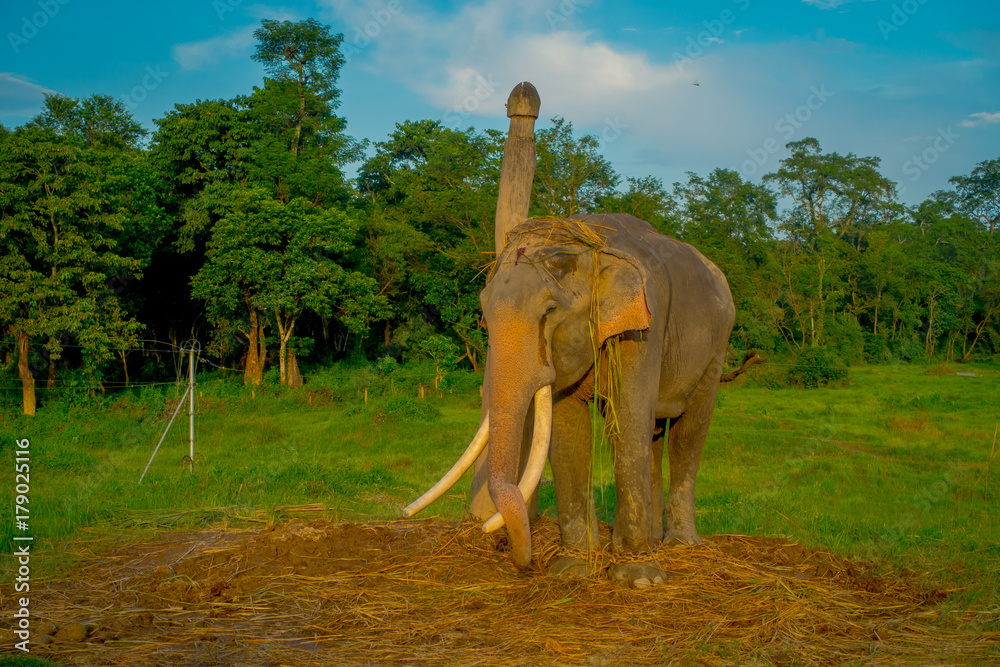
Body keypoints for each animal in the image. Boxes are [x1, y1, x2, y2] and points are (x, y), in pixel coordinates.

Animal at [405, 212, 739, 584]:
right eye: (485, 316)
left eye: (550, 311)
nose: (516, 556)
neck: (590, 242)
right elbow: (568, 433)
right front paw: (573, 569)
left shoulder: (645, 325)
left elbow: (628, 421)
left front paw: (638, 577)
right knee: (653, 436)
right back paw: (652, 541)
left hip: (717, 348)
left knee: (688, 433)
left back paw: (680, 546)